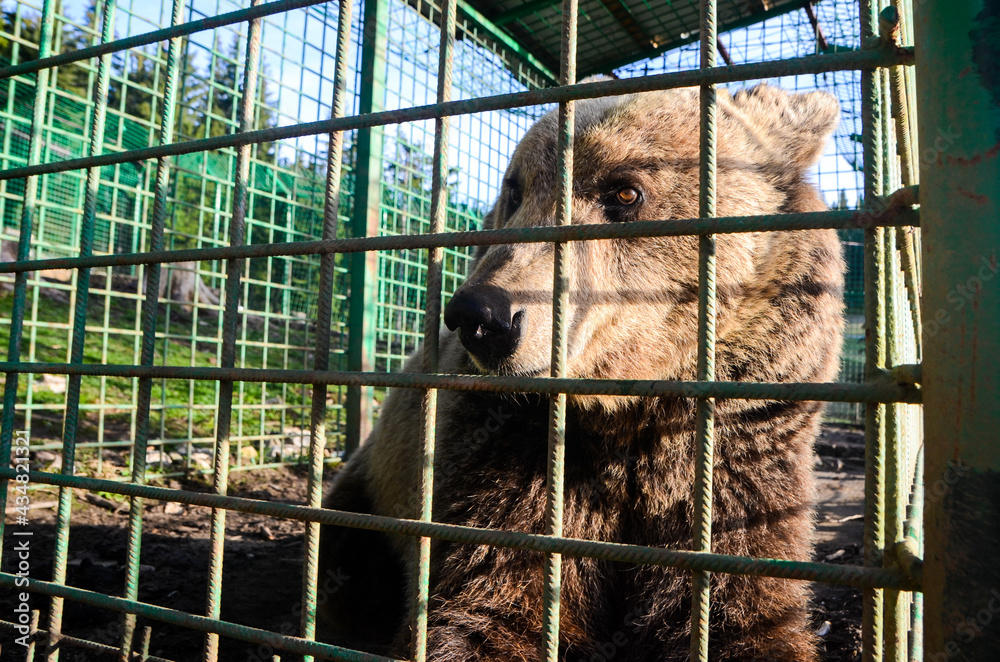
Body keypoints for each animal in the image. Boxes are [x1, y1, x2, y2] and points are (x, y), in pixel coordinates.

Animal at [317, 83, 844, 662]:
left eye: (625, 192)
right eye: (515, 190)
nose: (482, 316)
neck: (626, 413)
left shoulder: (739, 455)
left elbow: (743, 612)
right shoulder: (509, 457)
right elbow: (488, 602)